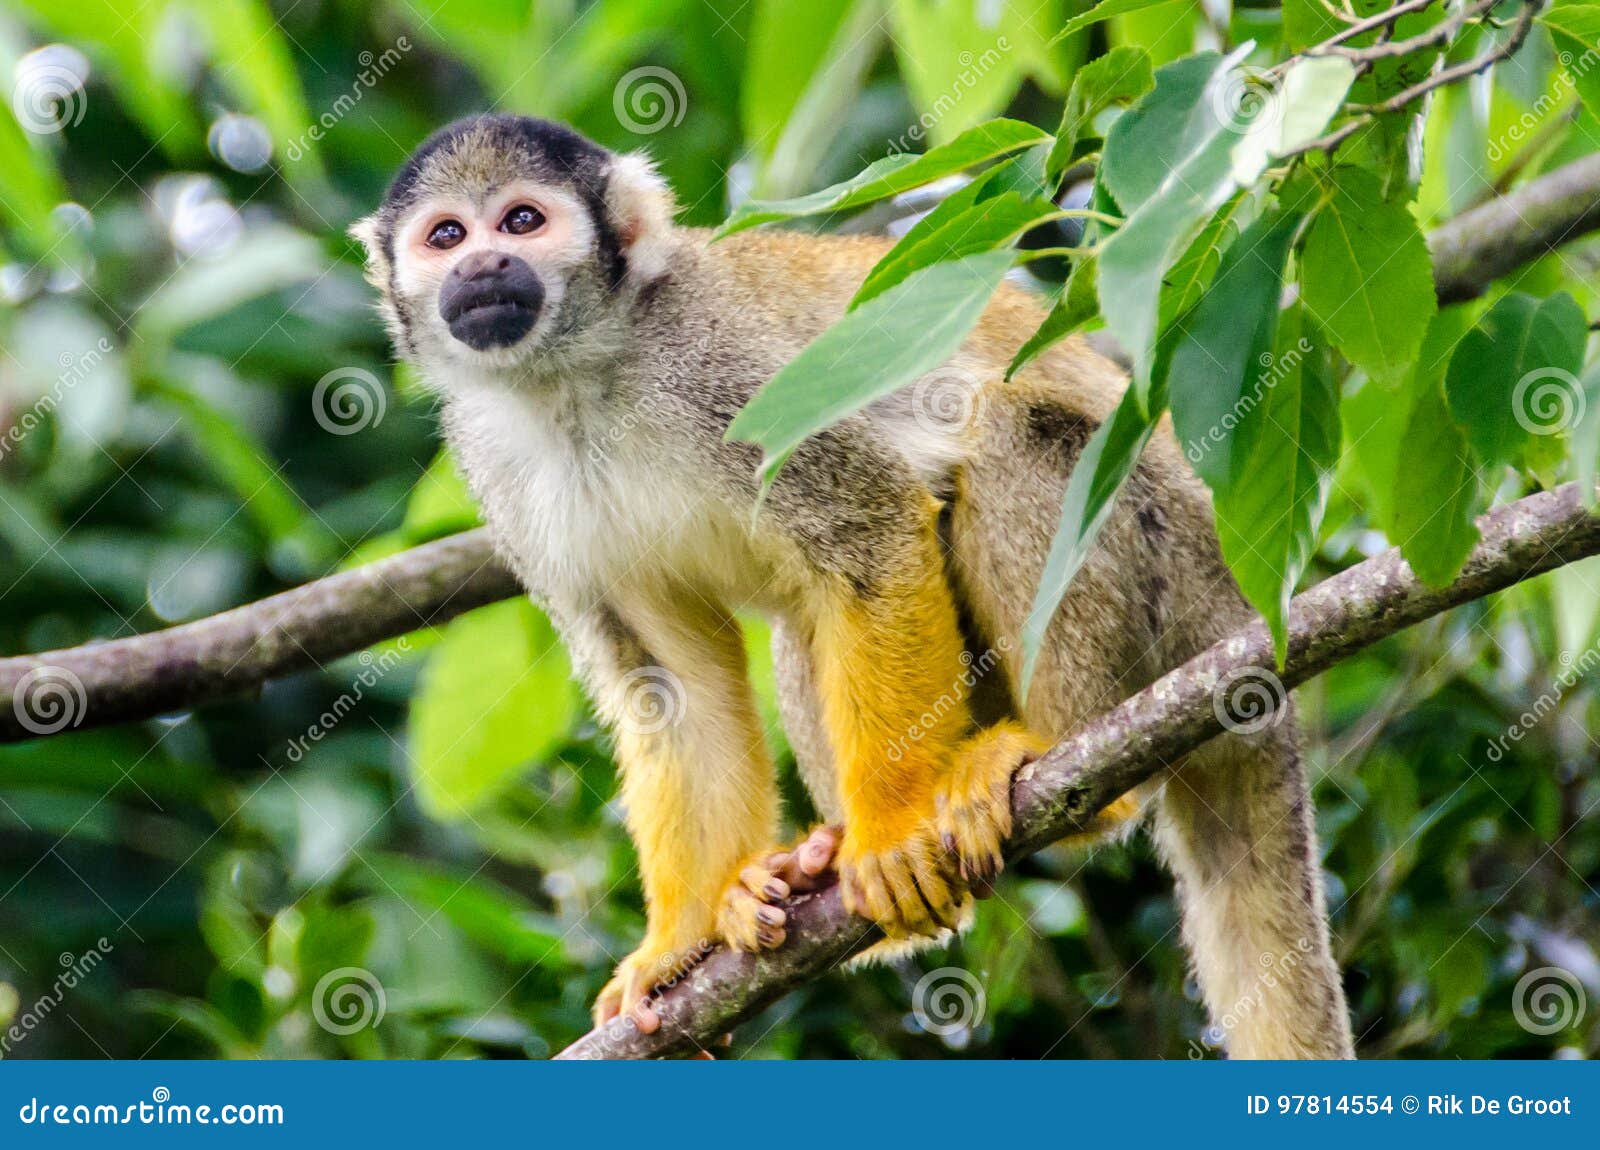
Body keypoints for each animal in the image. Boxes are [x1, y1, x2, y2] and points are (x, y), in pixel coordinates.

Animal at [352, 113, 1354, 1059]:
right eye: (446, 235)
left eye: (523, 221)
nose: (483, 265)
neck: (575, 379)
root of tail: (1245, 619)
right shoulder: (501, 478)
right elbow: (668, 680)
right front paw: (673, 948)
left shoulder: (720, 370)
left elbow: (871, 530)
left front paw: (896, 834)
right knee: (807, 621)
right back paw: (810, 879)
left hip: (1178, 570)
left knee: (1018, 436)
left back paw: (1064, 771)